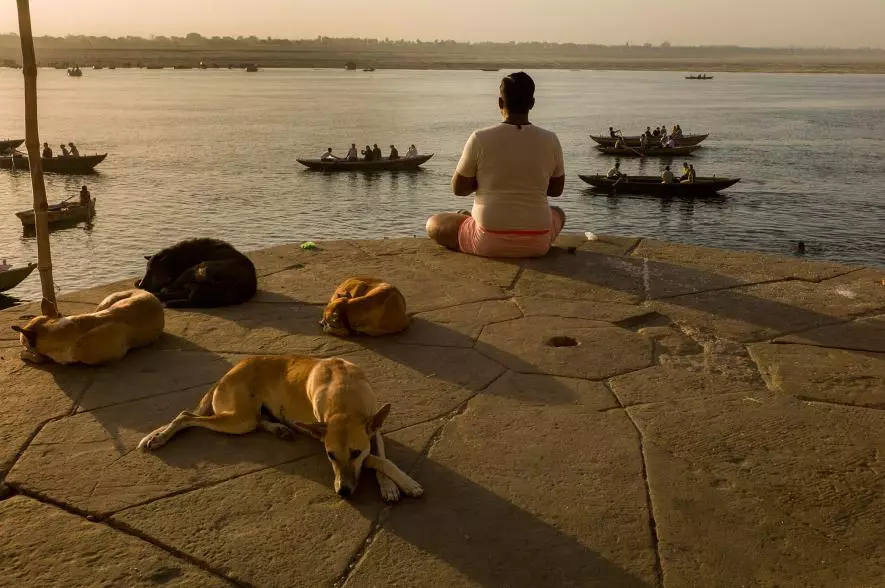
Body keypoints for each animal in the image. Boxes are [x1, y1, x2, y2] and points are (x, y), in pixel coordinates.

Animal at [139, 356, 424, 504]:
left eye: (354, 453)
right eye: (330, 456)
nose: (343, 492)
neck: (343, 394)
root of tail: (227, 373)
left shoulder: (375, 430)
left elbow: (380, 457)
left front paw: (391, 485)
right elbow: (376, 460)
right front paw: (405, 483)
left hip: (246, 417)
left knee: (259, 420)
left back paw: (279, 428)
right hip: (240, 419)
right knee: (187, 415)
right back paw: (160, 437)